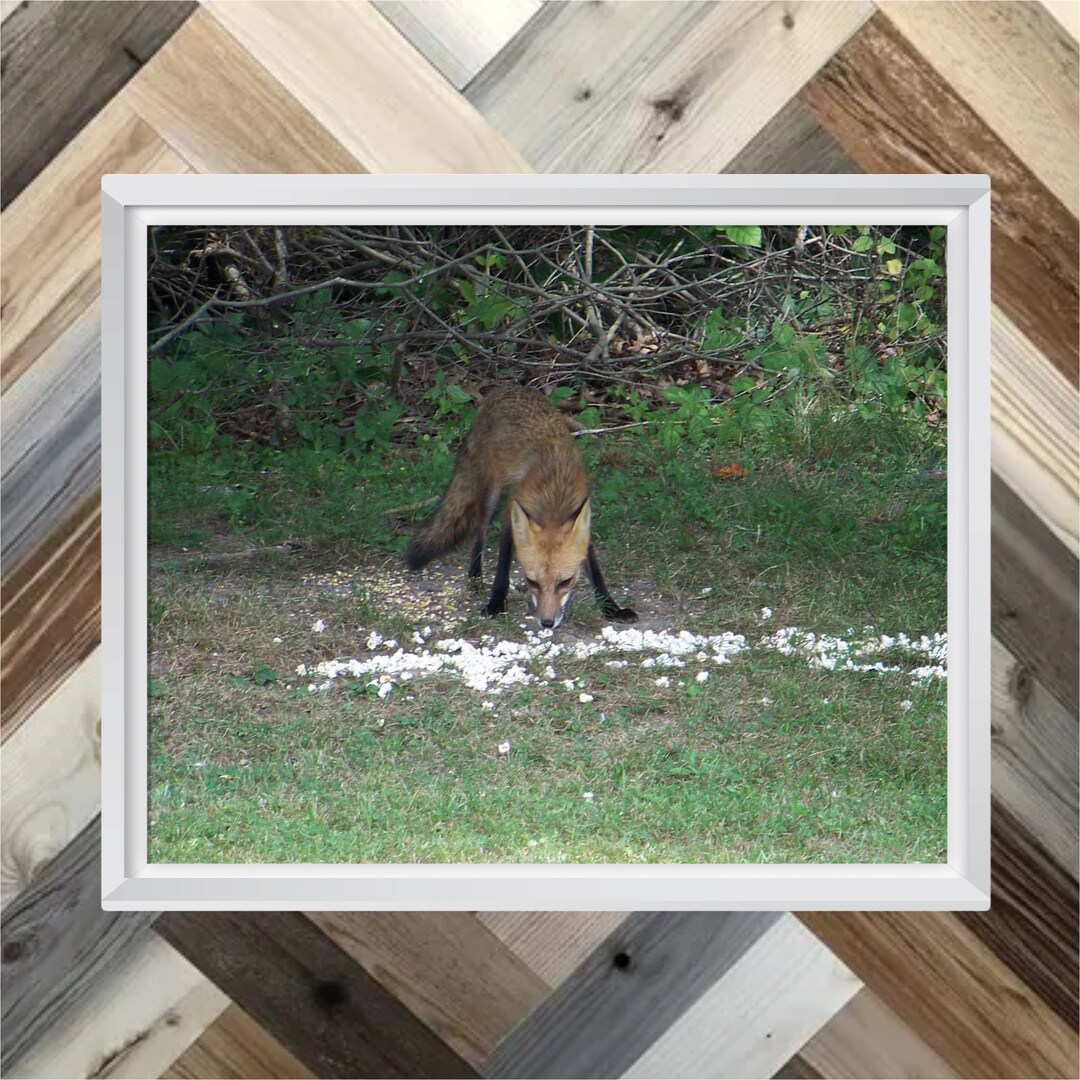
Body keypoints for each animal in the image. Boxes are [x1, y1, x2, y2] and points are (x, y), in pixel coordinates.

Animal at [405, 386, 637, 629]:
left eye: (566, 581)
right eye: (531, 581)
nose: (547, 623)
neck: (554, 498)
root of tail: (503, 389)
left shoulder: (580, 525)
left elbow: (595, 572)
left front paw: (611, 607)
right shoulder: (512, 513)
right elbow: (503, 565)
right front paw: (496, 603)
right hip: (491, 491)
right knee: (479, 532)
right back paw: (475, 577)